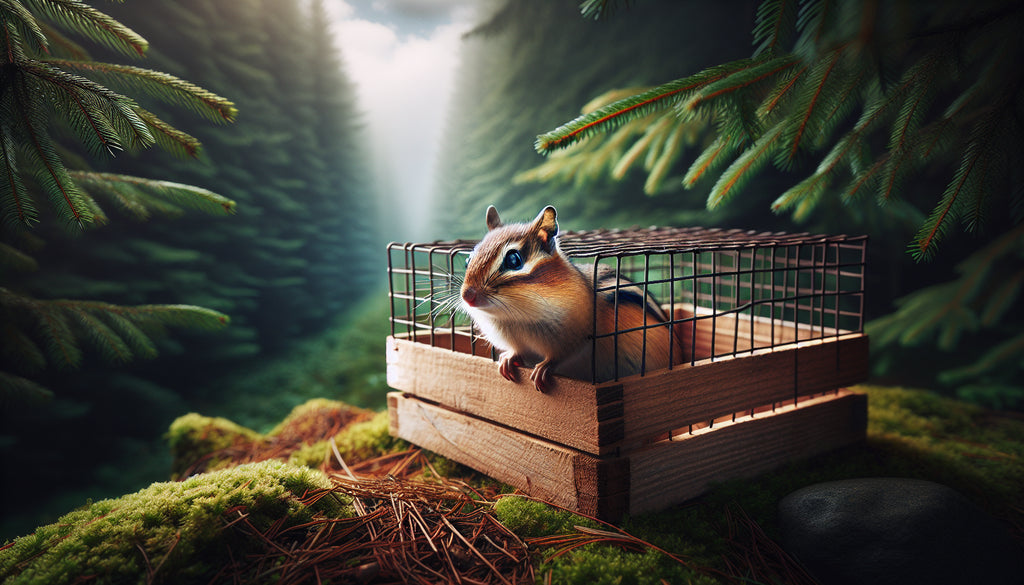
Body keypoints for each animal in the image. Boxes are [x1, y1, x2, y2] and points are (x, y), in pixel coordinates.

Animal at [460, 205, 681, 391]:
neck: (516, 316)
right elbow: (516, 351)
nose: (468, 295)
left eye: (514, 260)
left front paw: (544, 366)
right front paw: (507, 359)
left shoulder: (577, 337)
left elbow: (561, 355)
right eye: (467, 260)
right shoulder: (517, 341)